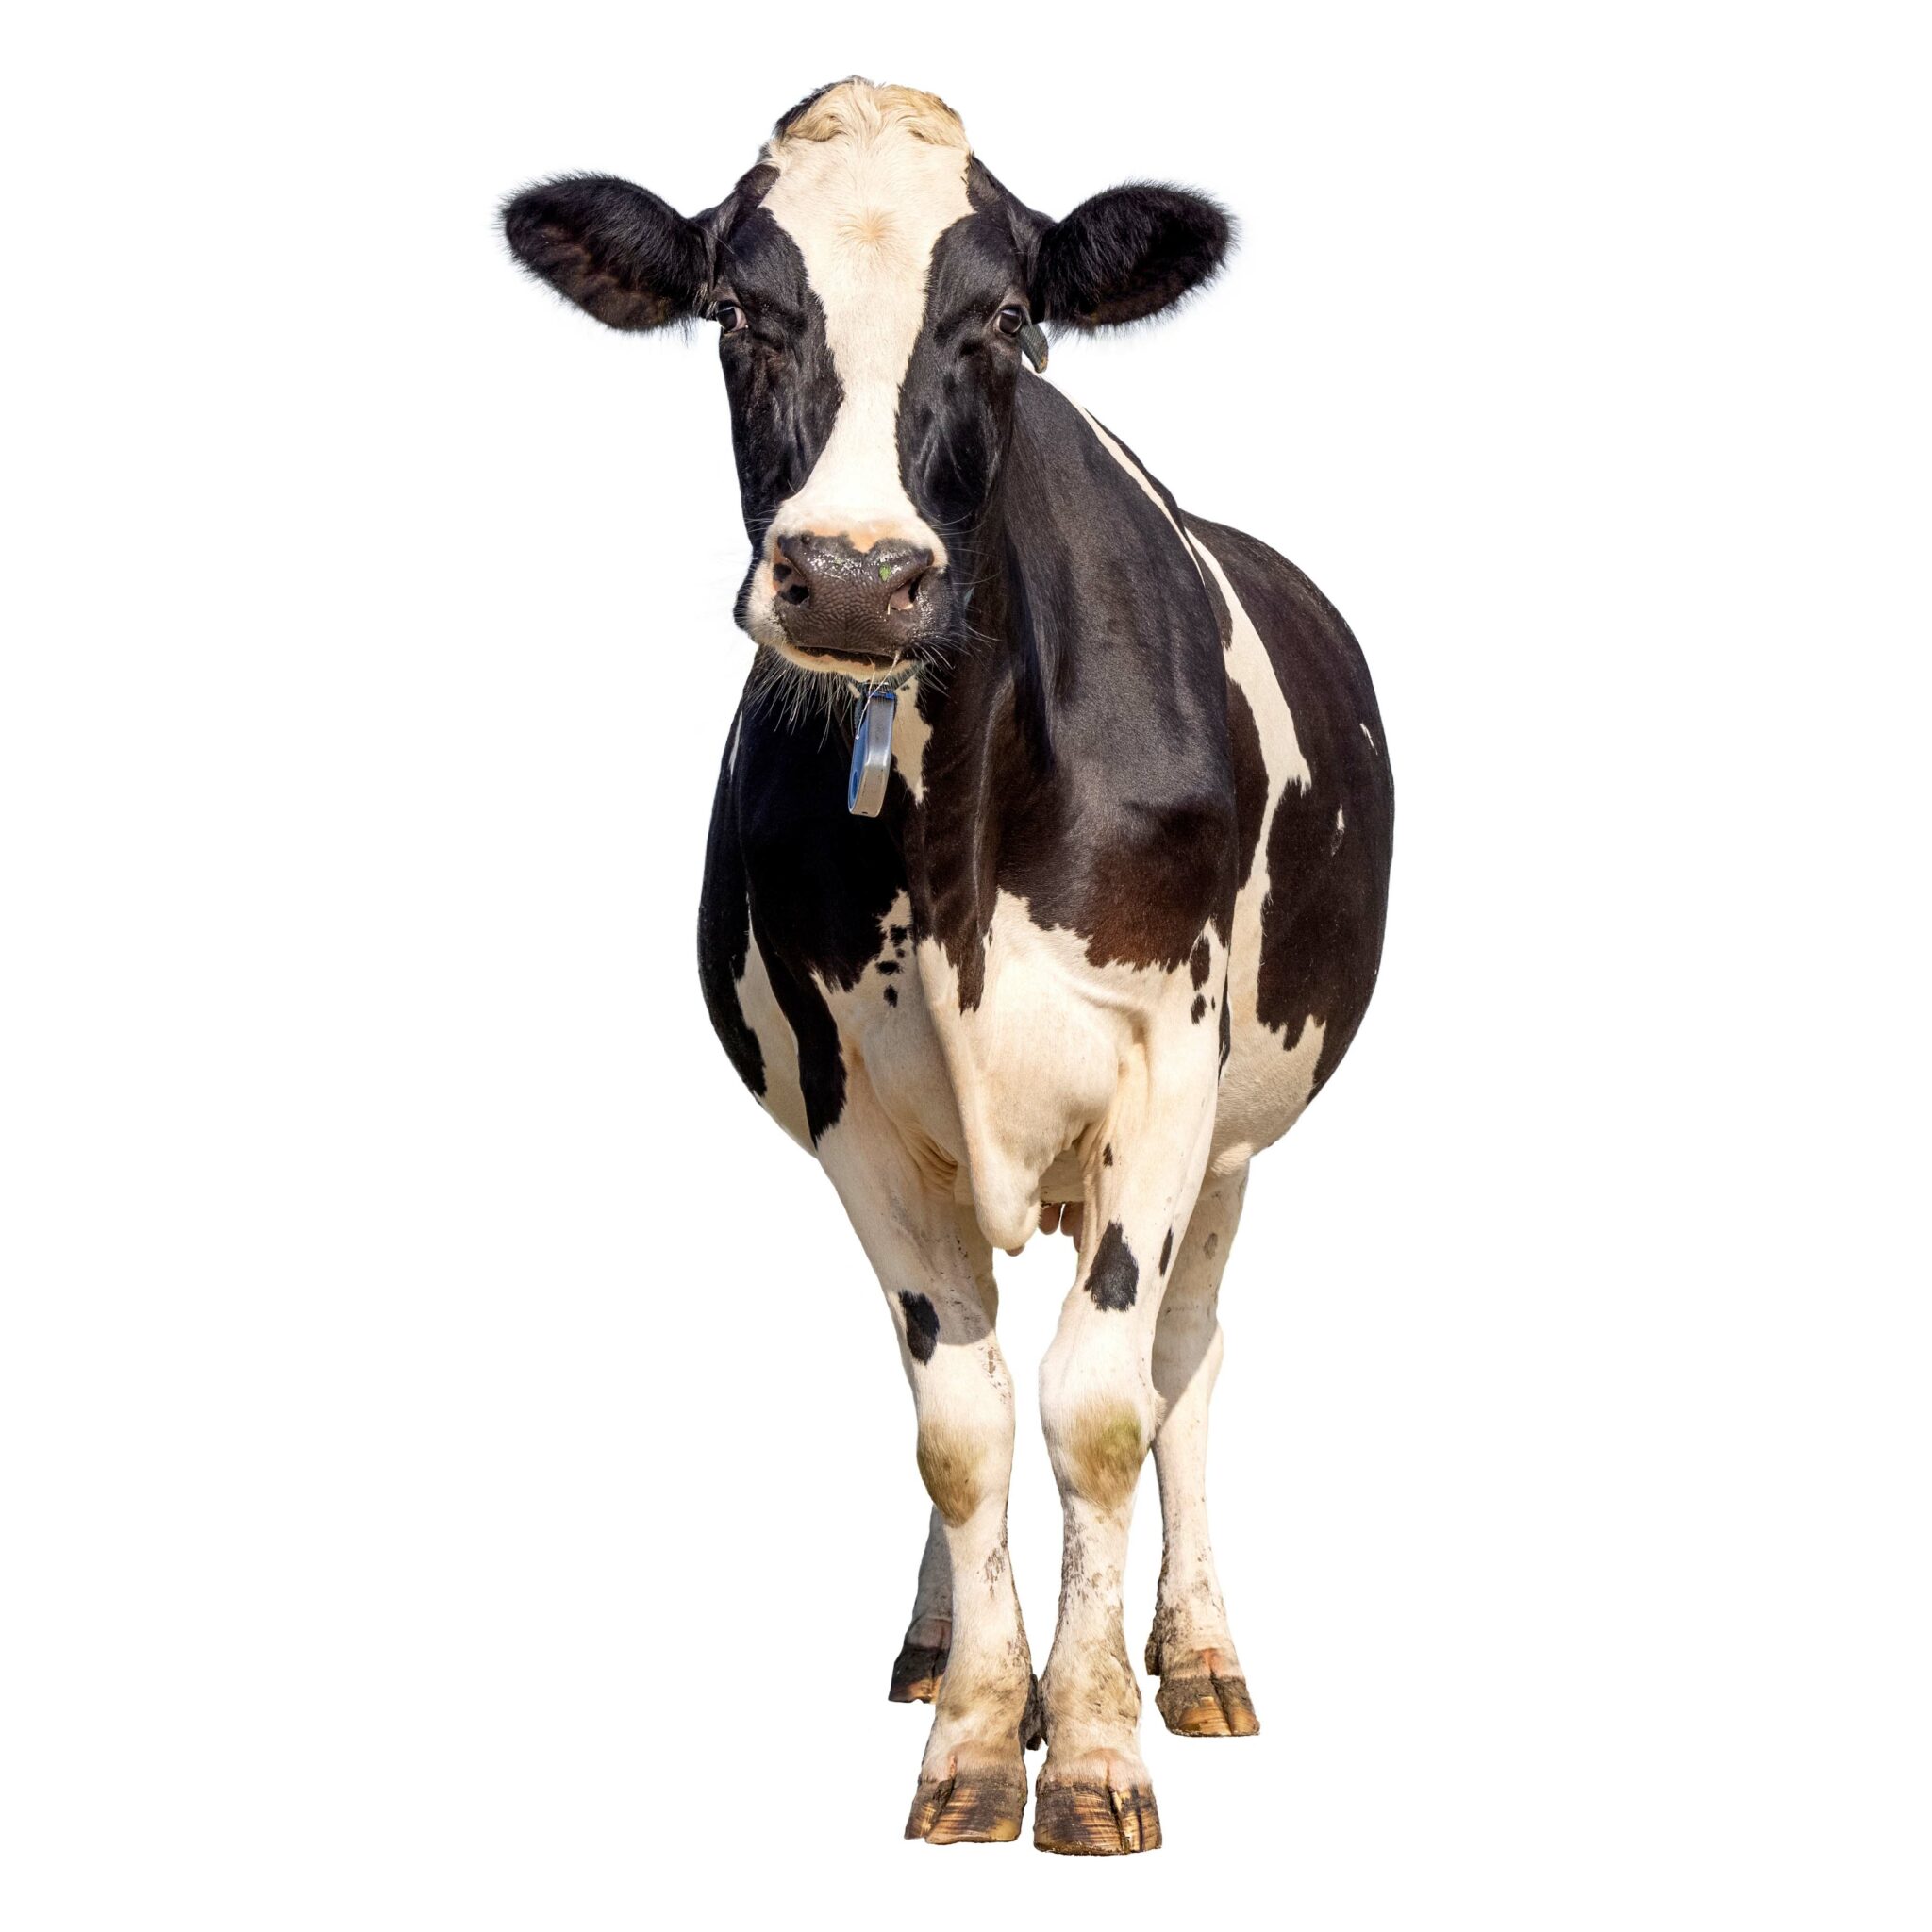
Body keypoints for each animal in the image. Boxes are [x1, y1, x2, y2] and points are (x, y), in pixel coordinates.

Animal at [502, 77, 1393, 1855]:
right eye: (735, 313)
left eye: (1003, 319)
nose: (853, 573)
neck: (962, 816)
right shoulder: (860, 1109)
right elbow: (964, 1419)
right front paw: (986, 1732)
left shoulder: (1164, 1078)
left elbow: (1103, 1405)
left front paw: (1101, 1744)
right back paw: (942, 1646)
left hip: (1238, 1139)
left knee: (1187, 1364)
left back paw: (1194, 1654)